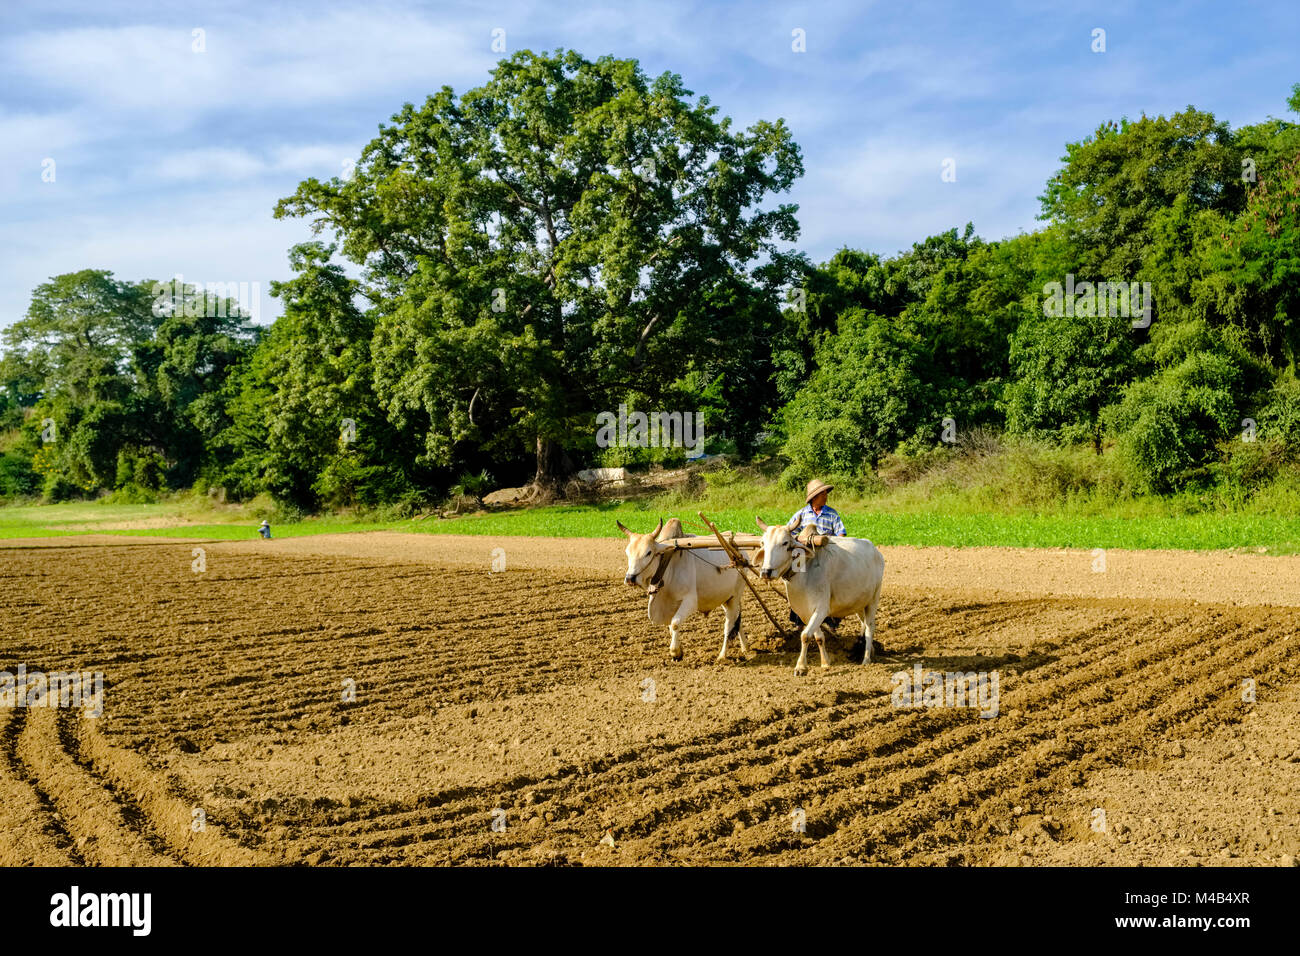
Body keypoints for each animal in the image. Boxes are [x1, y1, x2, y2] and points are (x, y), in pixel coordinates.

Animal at [617, 517, 748, 663]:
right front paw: (679, 651)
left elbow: (675, 623)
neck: (668, 565)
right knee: (736, 620)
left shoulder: (690, 601)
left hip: (735, 597)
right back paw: (745, 648)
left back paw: (722, 655)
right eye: (627, 552)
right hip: (726, 598)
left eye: (648, 552)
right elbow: (670, 627)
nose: (630, 578)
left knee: (729, 624)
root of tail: (742, 553)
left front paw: (675, 652)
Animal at [754, 516, 885, 676]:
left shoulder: (822, 609)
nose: (766, 572)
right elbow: (818, 637)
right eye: (763, 543)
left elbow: (805, 635)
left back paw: (866, 660)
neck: (803, 571)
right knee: (864, 624)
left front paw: (800, 667)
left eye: (785, 543)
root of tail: (876, 552)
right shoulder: (805, 612)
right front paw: (825, 663)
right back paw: (870, 651)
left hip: (873, 599)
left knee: (870, 627)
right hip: (860, 603)